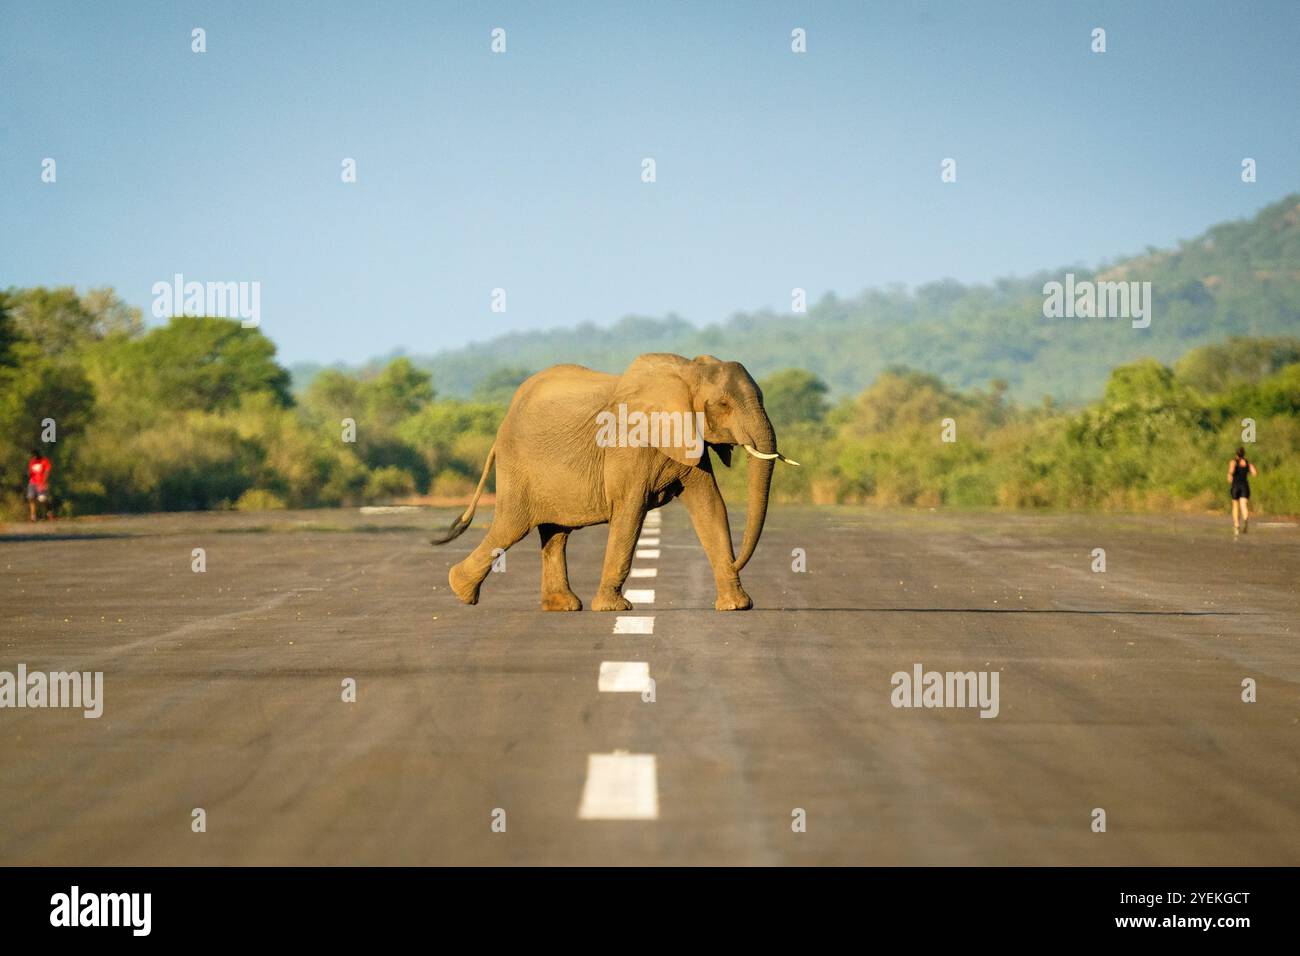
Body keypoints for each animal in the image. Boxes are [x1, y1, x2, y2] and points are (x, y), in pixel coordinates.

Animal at [431, 353, 799, 611]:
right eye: (722, 404)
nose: (737, 560)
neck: (686, 371)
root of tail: (502, 425)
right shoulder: (629, 444)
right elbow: (631, 512)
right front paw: (614, 608)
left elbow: (710, 507)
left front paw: (737, 606)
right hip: (518, 465)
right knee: (511, 526)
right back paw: (459, 589)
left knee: (555, 532)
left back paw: (562, 606)